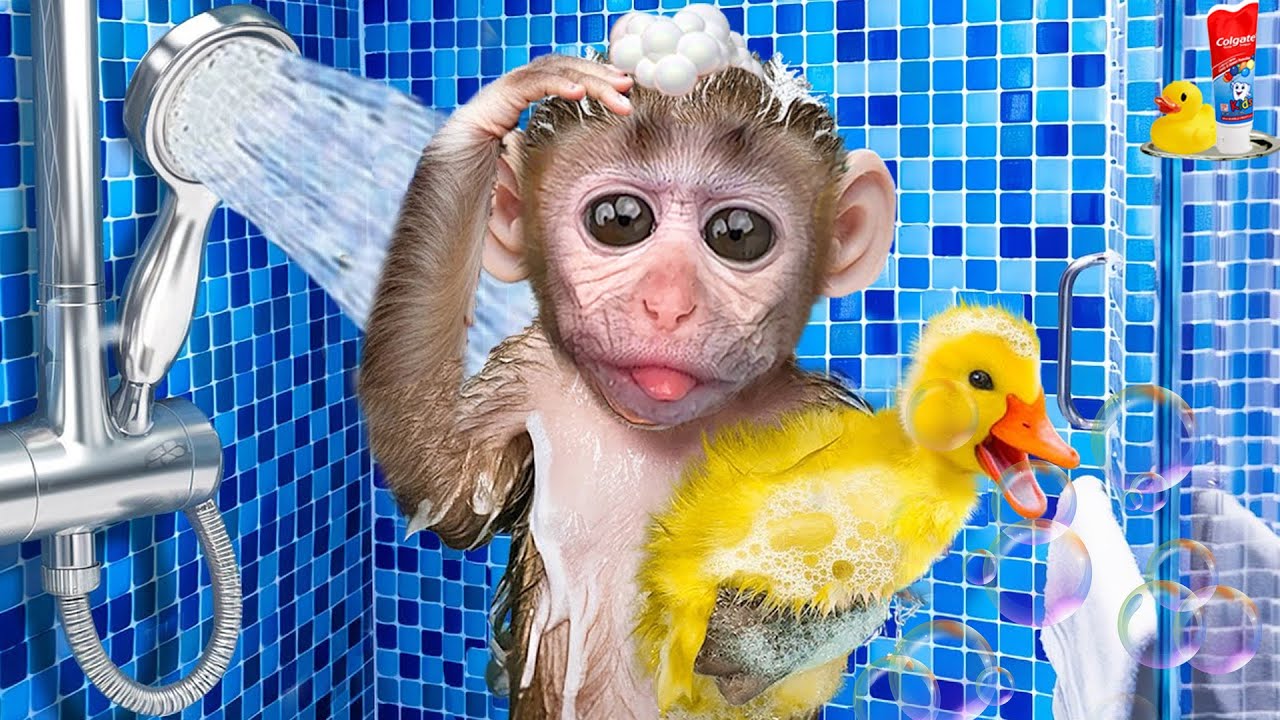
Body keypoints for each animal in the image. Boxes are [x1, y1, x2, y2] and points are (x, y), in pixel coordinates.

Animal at [359, 52, 896, 719]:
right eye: (621, 220)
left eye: (738, 232)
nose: (667, 302)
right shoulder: (525, 372)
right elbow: (442, 484)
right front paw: (488, 113)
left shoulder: (823, 413)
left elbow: (872, 568)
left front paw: (741, 636)